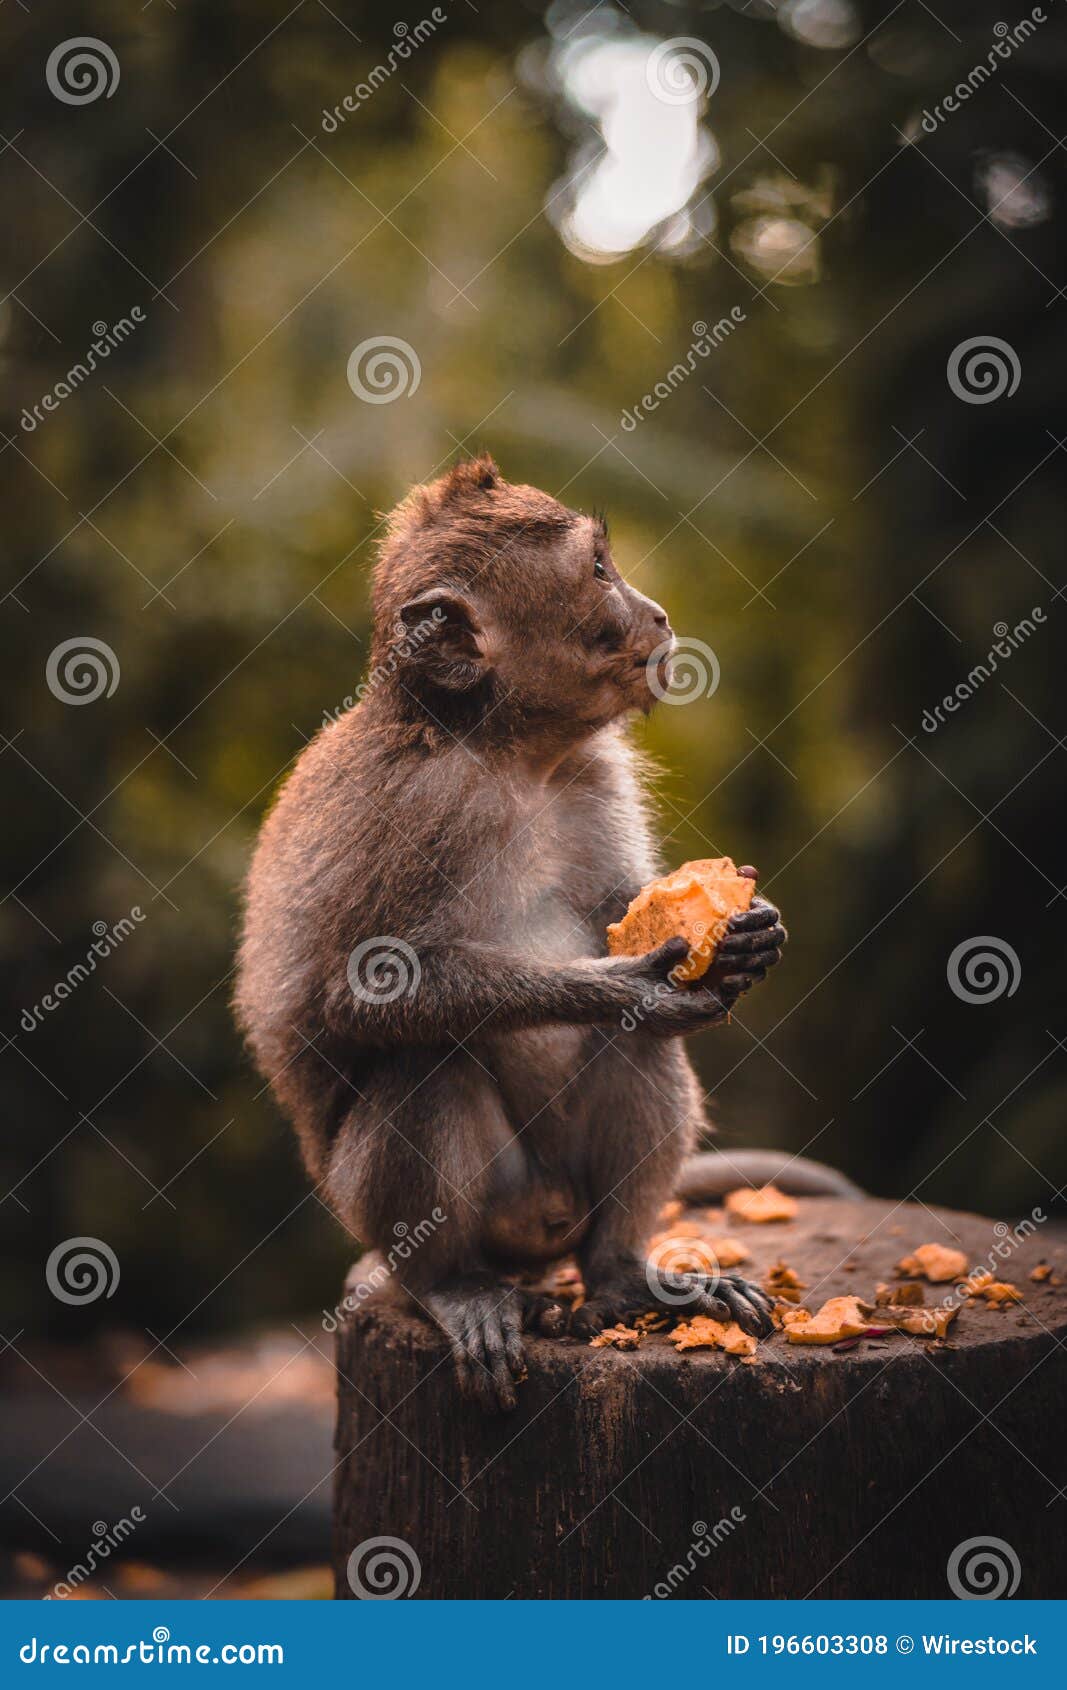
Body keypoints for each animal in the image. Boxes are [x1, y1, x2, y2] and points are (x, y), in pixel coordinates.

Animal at [235, 456, 860, 1413]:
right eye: (598, 571)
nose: (657, 613)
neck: (504, 752)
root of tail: (541, 1244)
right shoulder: (409, 806)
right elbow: (360, 992)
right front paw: (621, 985)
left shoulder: (593, 772)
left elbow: (619, 907)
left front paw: (746, 932)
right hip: (430, 1212)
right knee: (424, 1068)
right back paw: (450, 1286)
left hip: (566, 1201)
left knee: (638, 1056)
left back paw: (623, 1277)